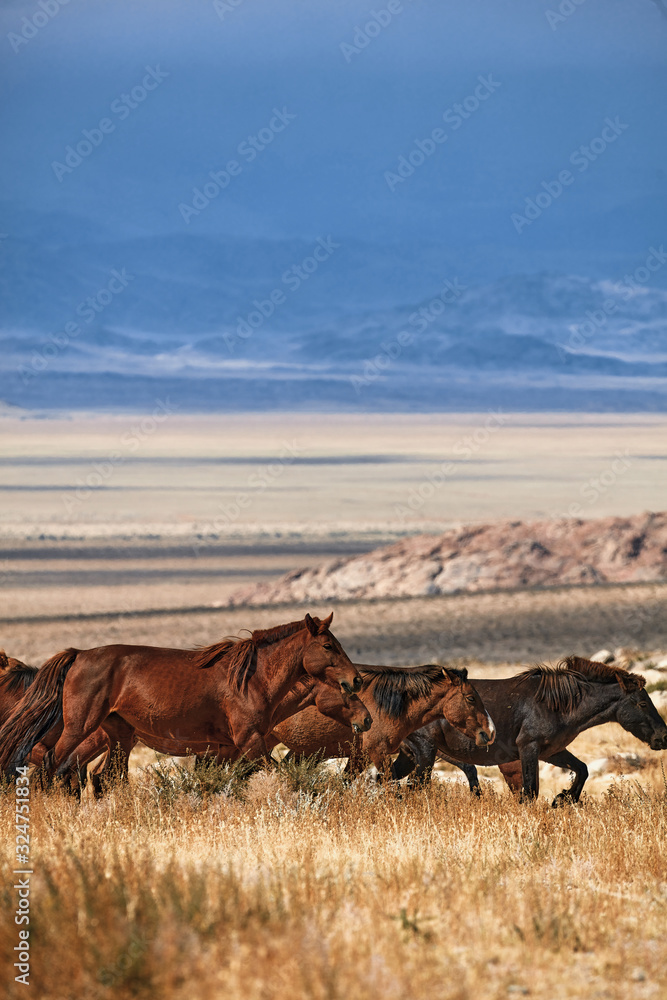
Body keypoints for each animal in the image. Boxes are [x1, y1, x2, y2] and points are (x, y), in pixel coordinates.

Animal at [0, 613, 364, 783]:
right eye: (328, 645)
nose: (356, 679)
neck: (252, 679)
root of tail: (78, 654)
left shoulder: (226, 749)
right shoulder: (249, 741)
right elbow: (279, 776)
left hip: (119, 735)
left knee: (106, 777)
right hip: (80, 728)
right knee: (52, 764)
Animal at [390, 656, 667, 803]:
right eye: (642, 703)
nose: (662, 737)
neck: (559, 704)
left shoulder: (552, 751)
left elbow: (582, 770)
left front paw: (563, 799)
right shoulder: (529, 749)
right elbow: (530, 791)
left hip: (411, 755)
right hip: (425, 753)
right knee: (411, 786)